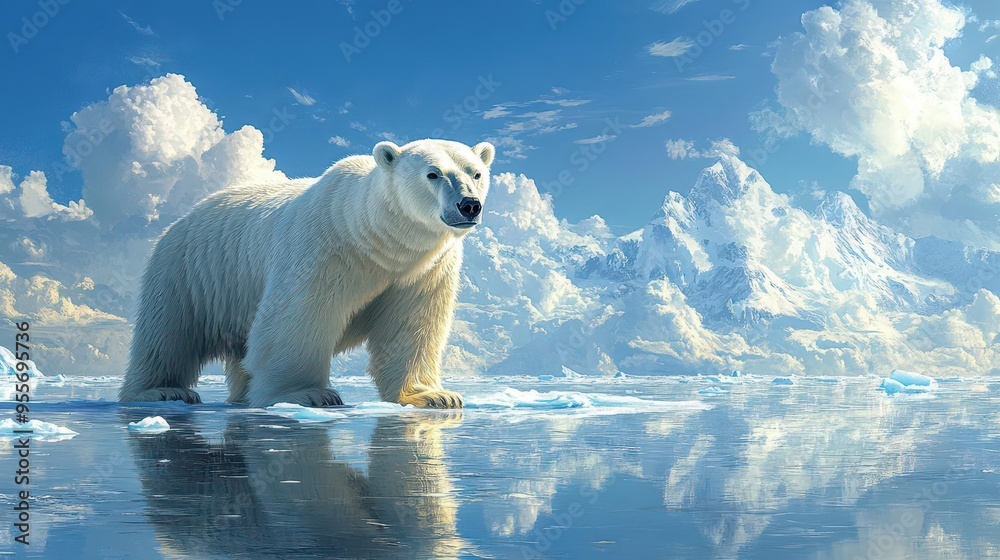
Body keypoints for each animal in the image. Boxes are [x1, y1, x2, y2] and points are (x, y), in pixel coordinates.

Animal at [118, 139, 494, 408]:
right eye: (433, 174)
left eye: (475, 172)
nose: (469, 205)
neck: (375, 241)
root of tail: (179, 221)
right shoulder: (324, 249)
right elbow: (298, 317)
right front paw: (307, 394)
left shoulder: (422, 273)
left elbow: (413, 326)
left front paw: (434, 395)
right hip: (191, 273)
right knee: (168, 334)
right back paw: (162, 391)